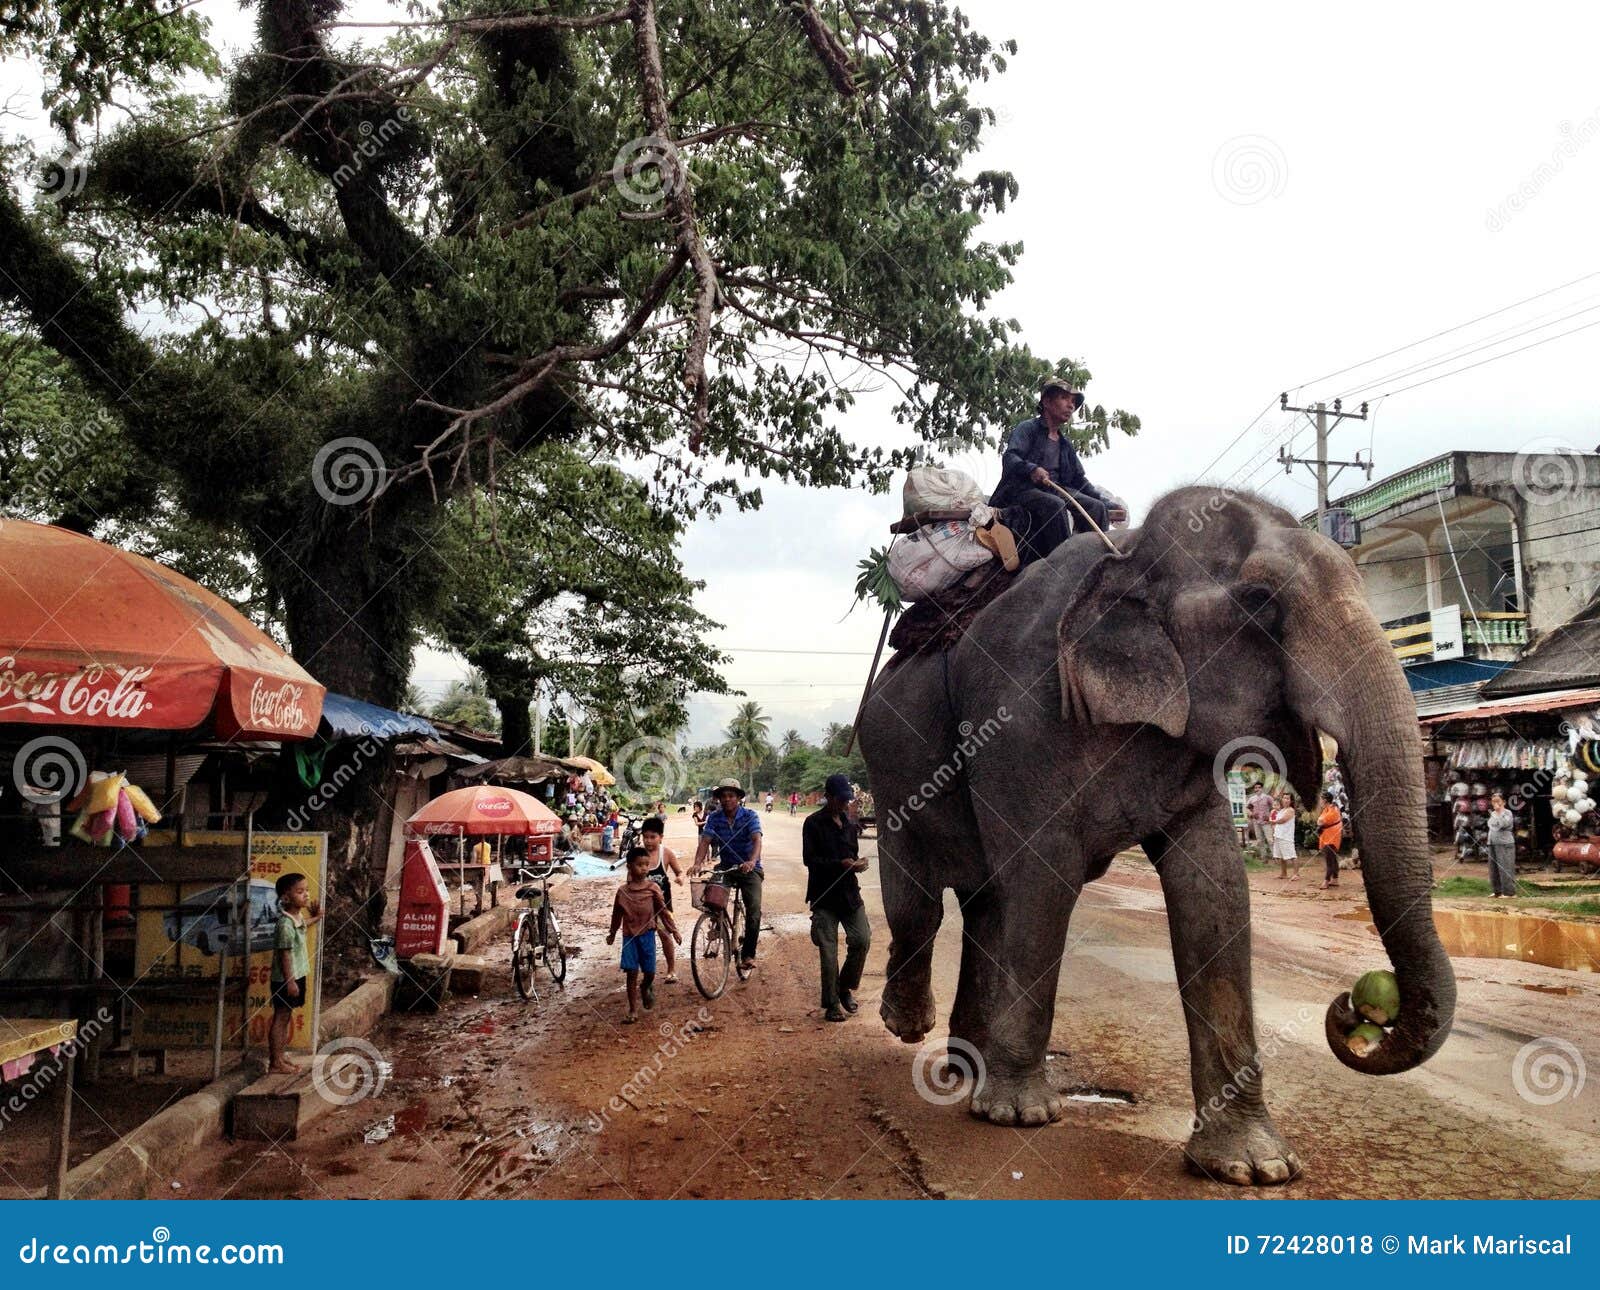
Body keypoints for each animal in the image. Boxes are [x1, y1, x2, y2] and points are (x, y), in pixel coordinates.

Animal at [858, 486, 1455, 1185]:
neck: (1131, 556)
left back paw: (967, 1068)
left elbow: (1215, 892)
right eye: (1260, 602)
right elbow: (1043, 881)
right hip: (889, 768)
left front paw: (1252, 1166)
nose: (1353, 1009)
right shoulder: (1016, 724)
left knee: (983, 904)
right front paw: (1018, 1116)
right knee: (920, 903)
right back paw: (909, 1025)